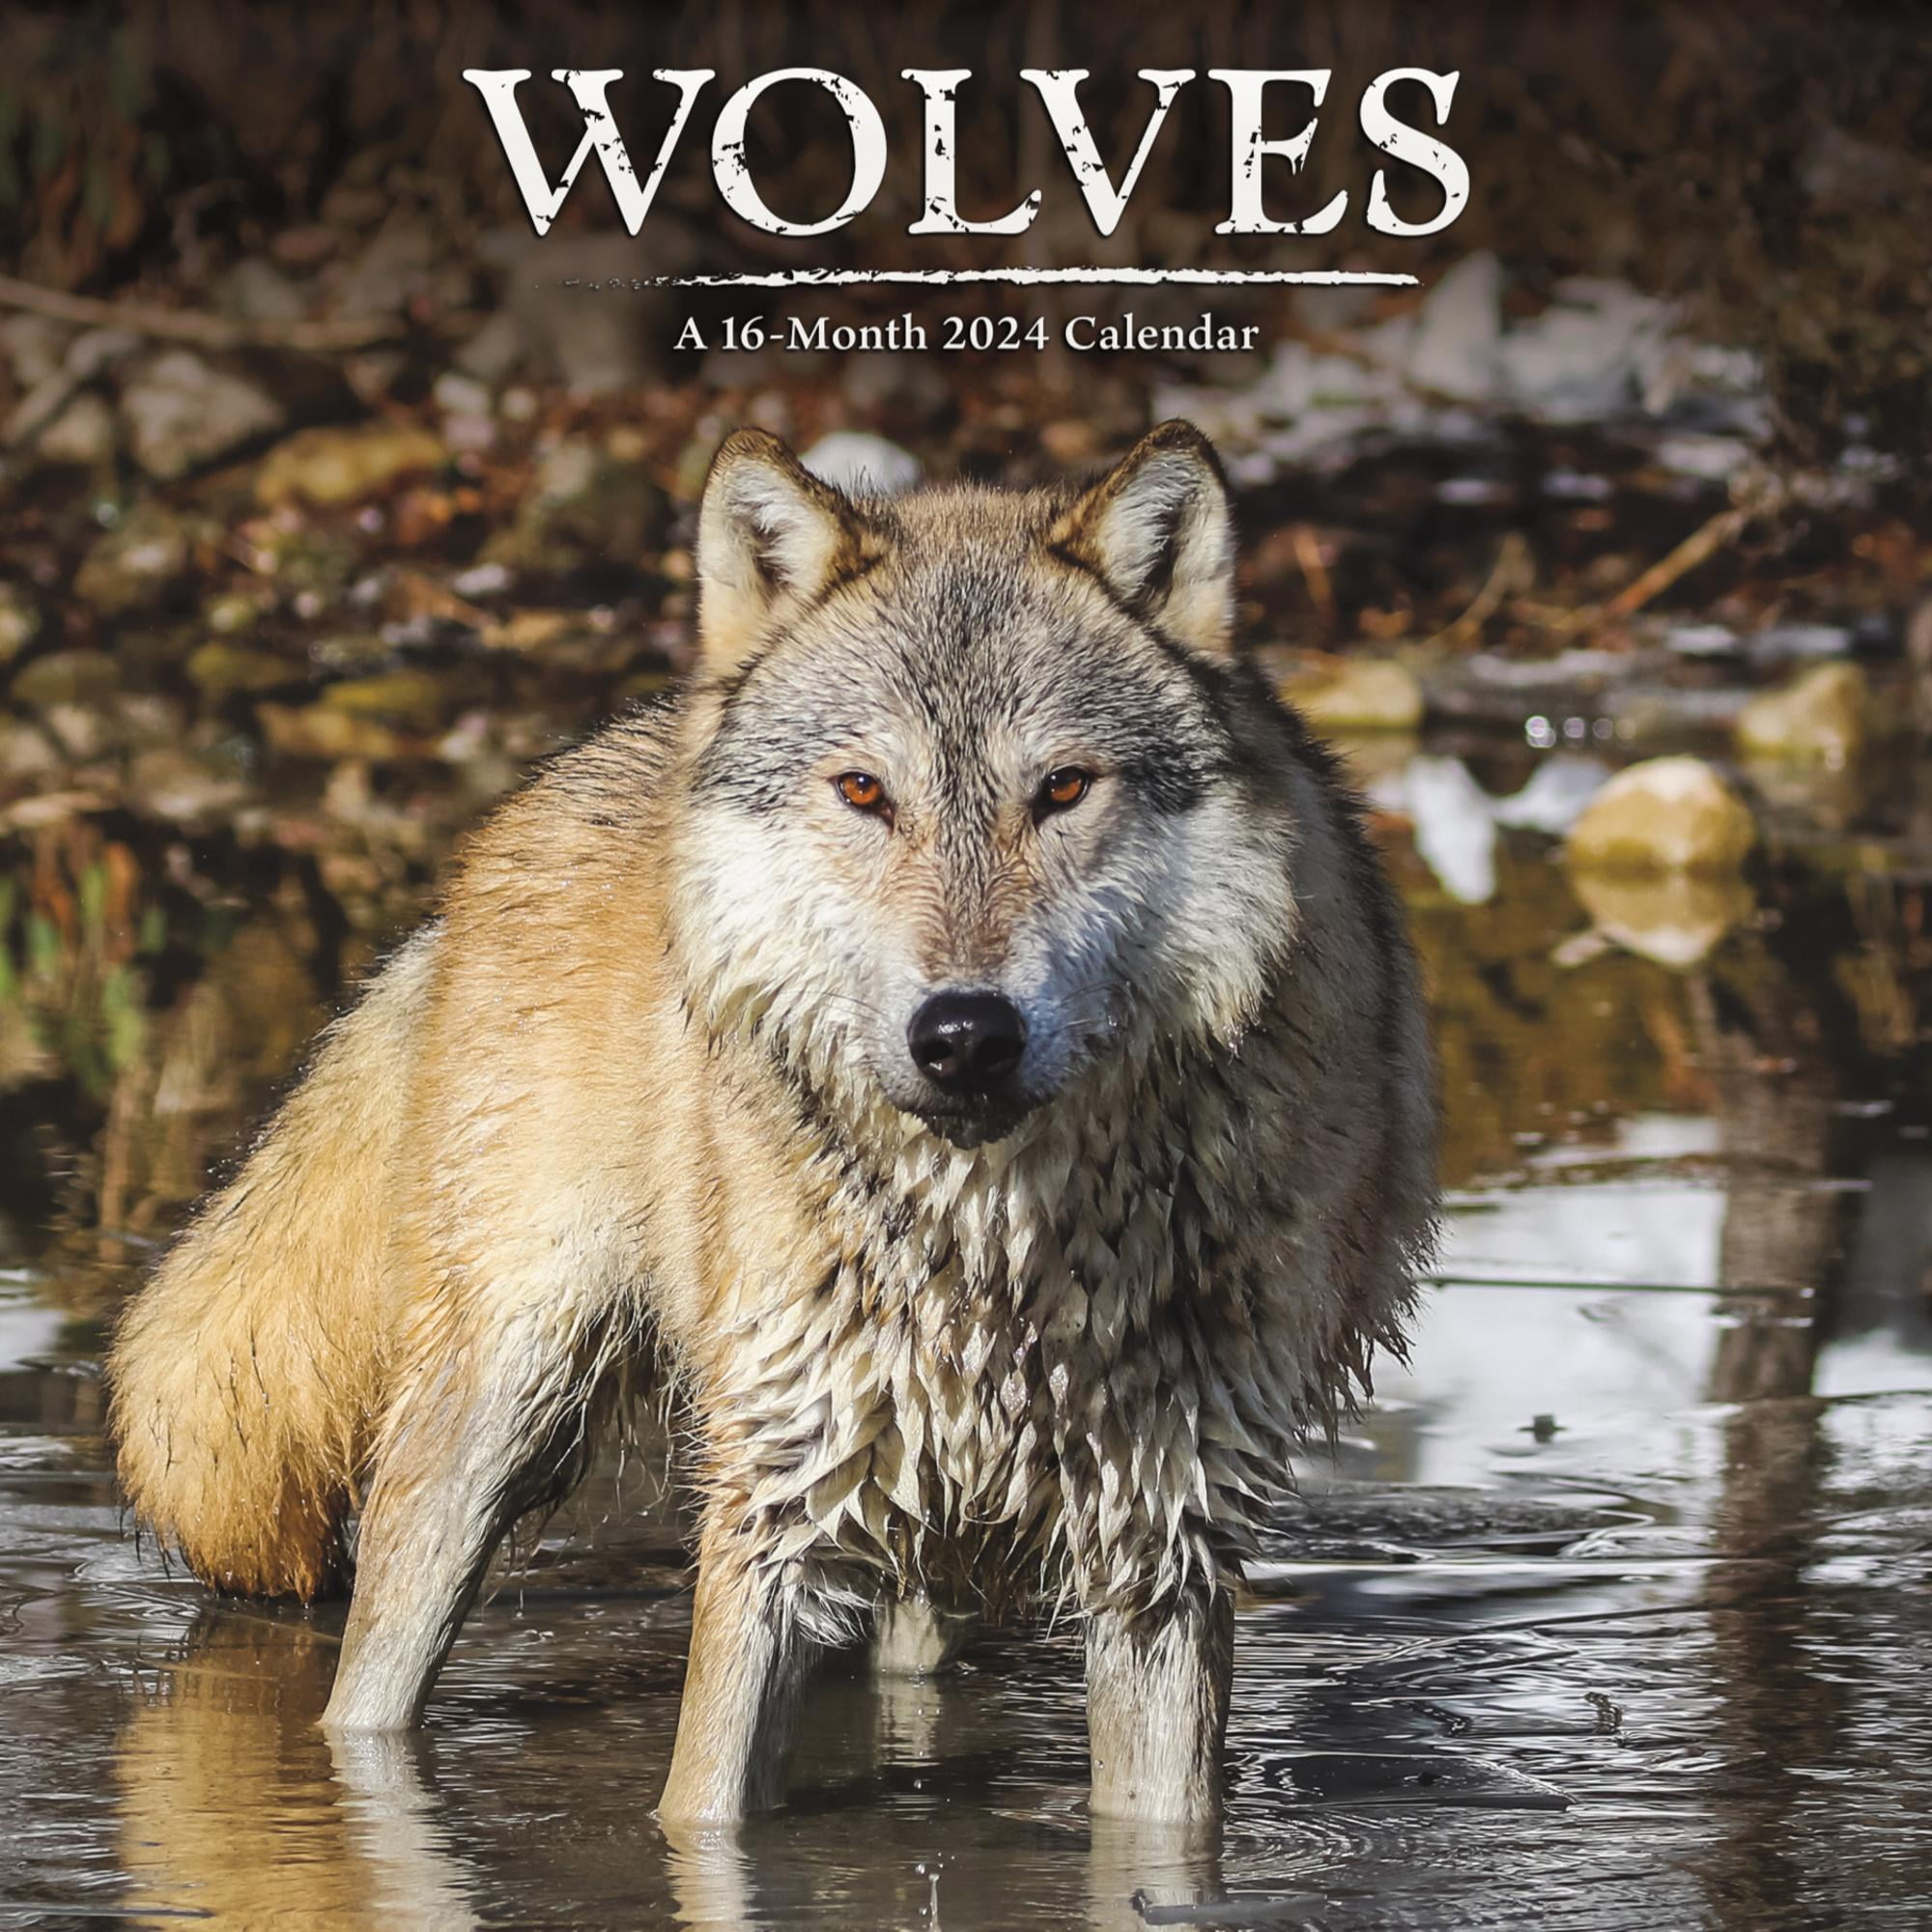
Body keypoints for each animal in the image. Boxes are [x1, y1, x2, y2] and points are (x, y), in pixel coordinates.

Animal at [110, 420, 1437, 1825]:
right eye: (862, 790)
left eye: (1065, 787)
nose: (964, 1033)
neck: (995, 1251)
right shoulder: (774, 1519)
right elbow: (701, 1811)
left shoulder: (1163, 1548)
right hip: (497, 1421)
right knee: (366, 1690)